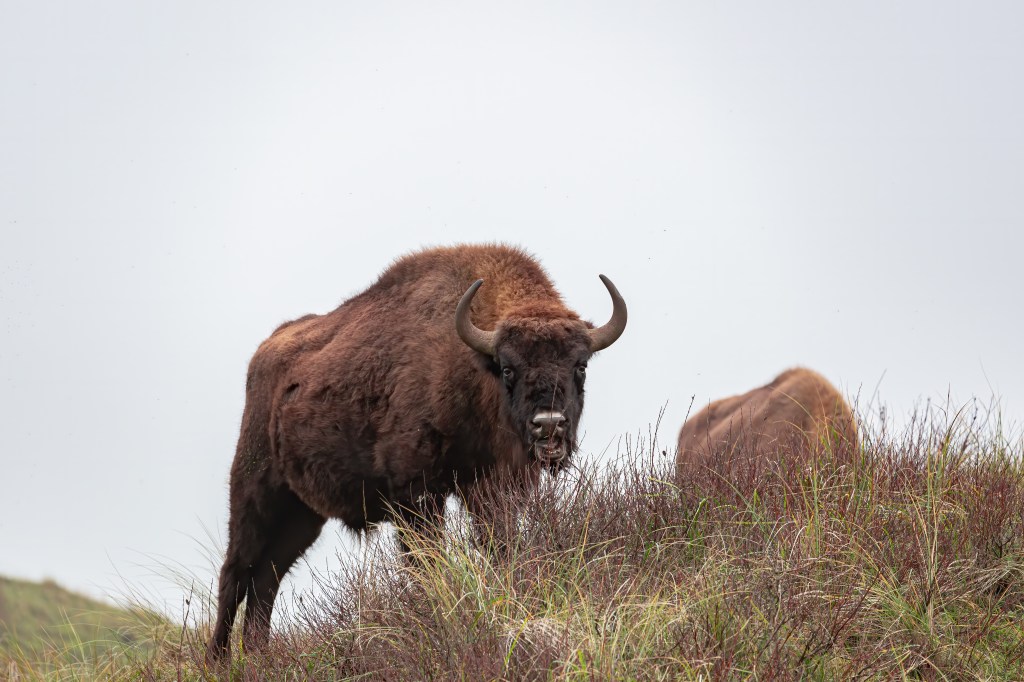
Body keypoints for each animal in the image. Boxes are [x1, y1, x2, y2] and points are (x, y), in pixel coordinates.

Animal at [206, 244, 627, 660]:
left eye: (580, 366)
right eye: (508, 368)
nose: (549, 425)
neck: (470, 367)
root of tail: (265, 354)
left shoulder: (496, 489)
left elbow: (500, 549)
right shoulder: (417, 496)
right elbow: (426, 563)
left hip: (303, 515)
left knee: (267, 577)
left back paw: (259, 658)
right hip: (255, 491)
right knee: (236, 573)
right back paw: (219, 661)